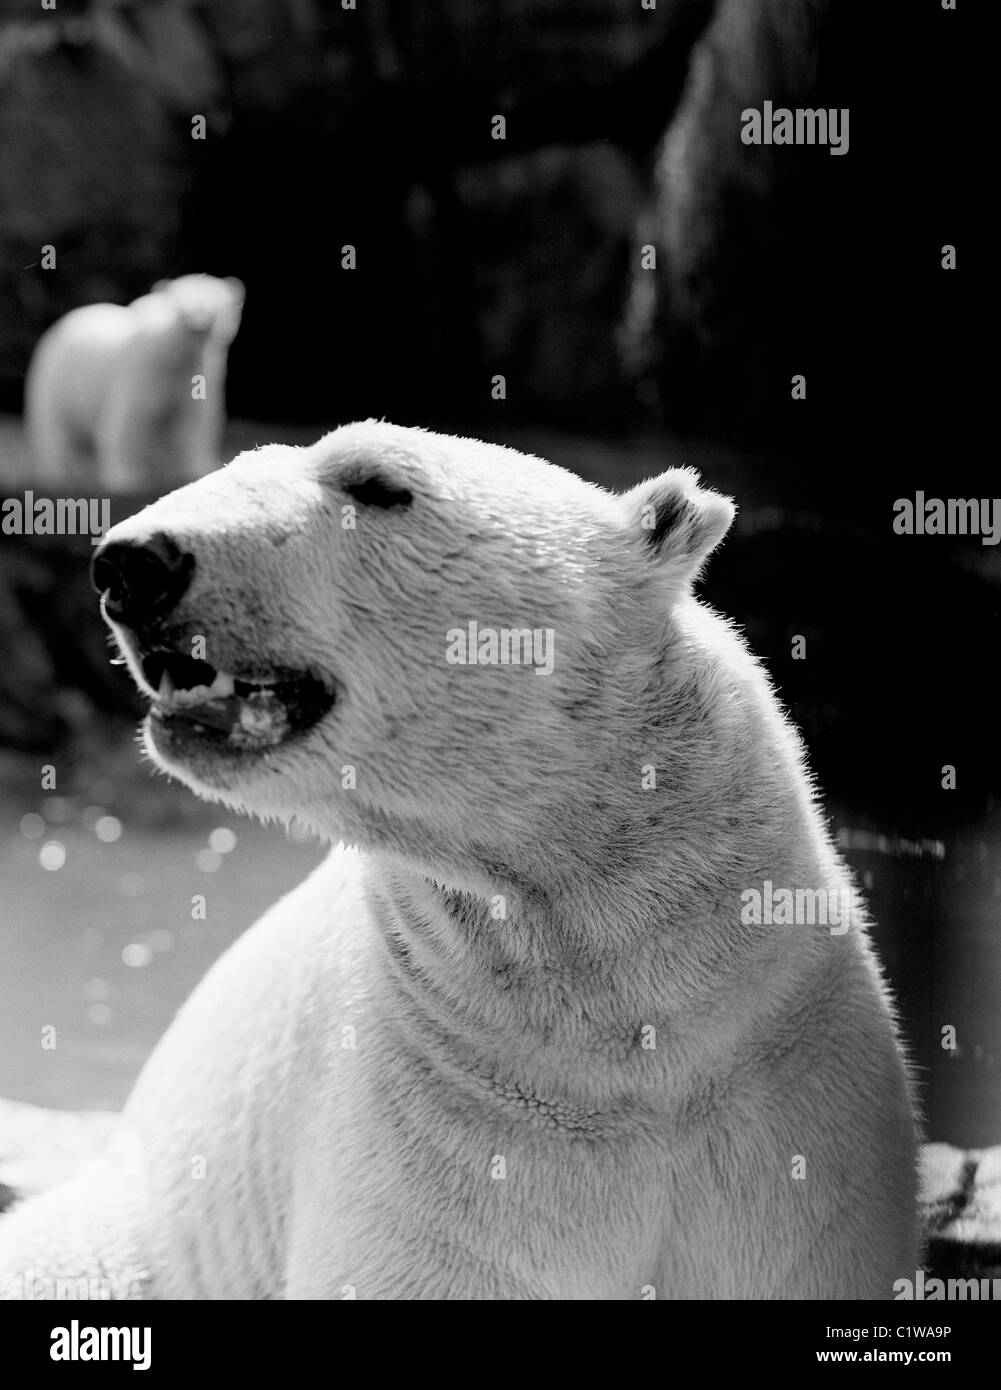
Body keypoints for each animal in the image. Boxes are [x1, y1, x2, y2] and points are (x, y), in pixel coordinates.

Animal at [24, 274, 245, 493]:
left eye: (214, 308)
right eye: (181, 309)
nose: (198, 324)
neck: (173, 355)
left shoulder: (199, 377)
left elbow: (194, 422)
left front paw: (198, 469)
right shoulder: (141, 372)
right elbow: (130, 420)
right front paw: (126, 477)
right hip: (54, 378)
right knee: (52, 429)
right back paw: (54, 476)